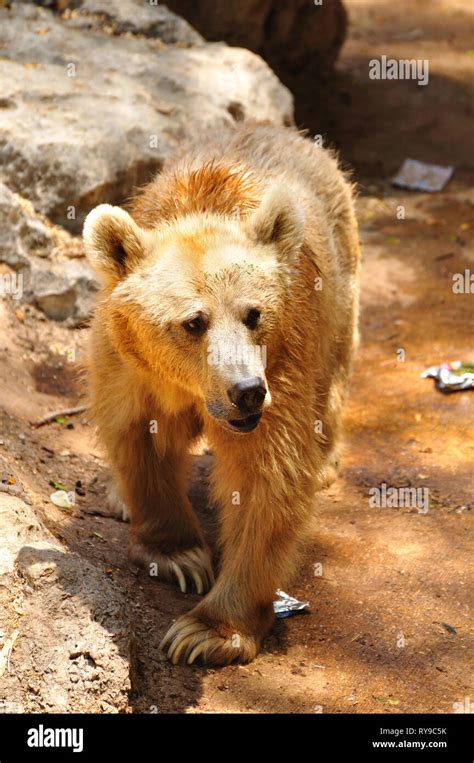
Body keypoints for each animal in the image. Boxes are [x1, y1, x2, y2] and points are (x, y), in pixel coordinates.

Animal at [83, 121, 360, 666]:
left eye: (254, 313)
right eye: (194, 321)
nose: (246, 392)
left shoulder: (283, 358)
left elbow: (265, 478)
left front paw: (208, 631)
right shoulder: (129, 367)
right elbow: (138, 439)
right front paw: (178, 556)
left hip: (338, 293)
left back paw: (326, 460)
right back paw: (116, 494)